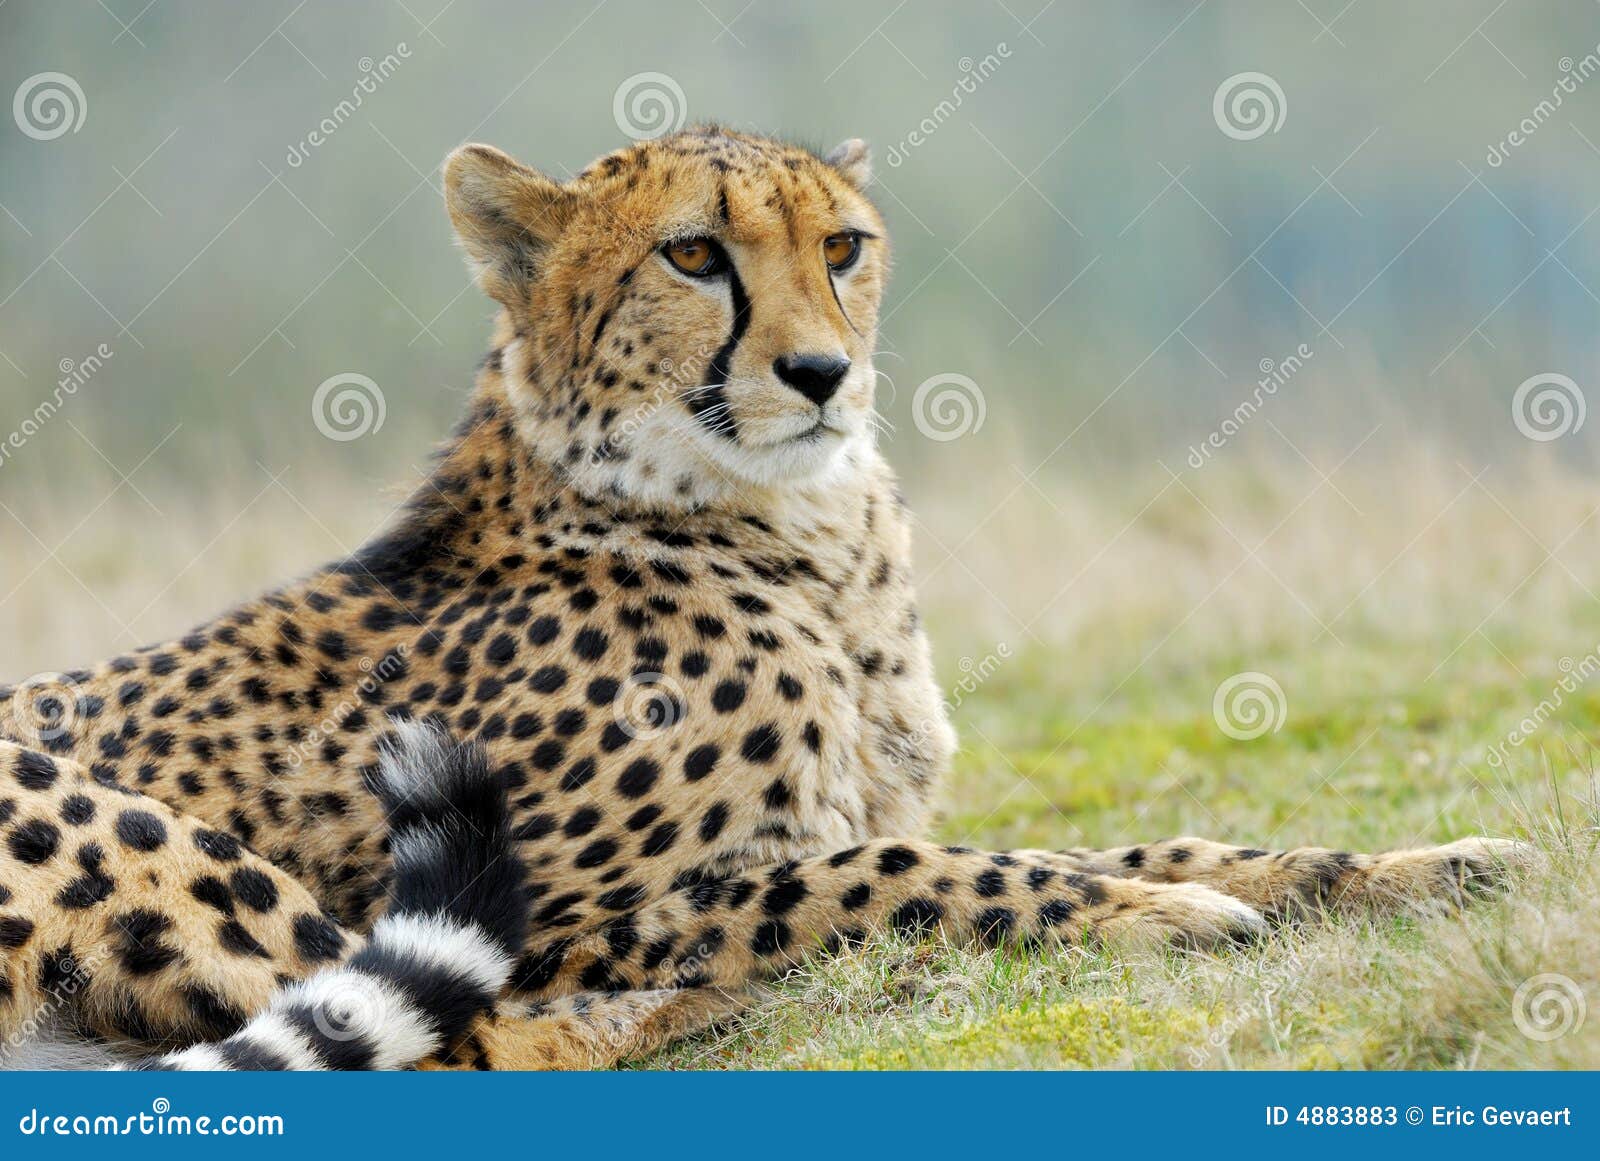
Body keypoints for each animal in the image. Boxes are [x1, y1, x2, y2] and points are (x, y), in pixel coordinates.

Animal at [0, 126, 1524, 1070]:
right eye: (692, 255)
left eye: (843, 247)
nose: (820, 374)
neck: (806, 540)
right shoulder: (550, 916)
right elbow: (882, 877)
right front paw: (1146, 920)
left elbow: (1136, 840)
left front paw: (1406, 865)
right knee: (471, 1045)